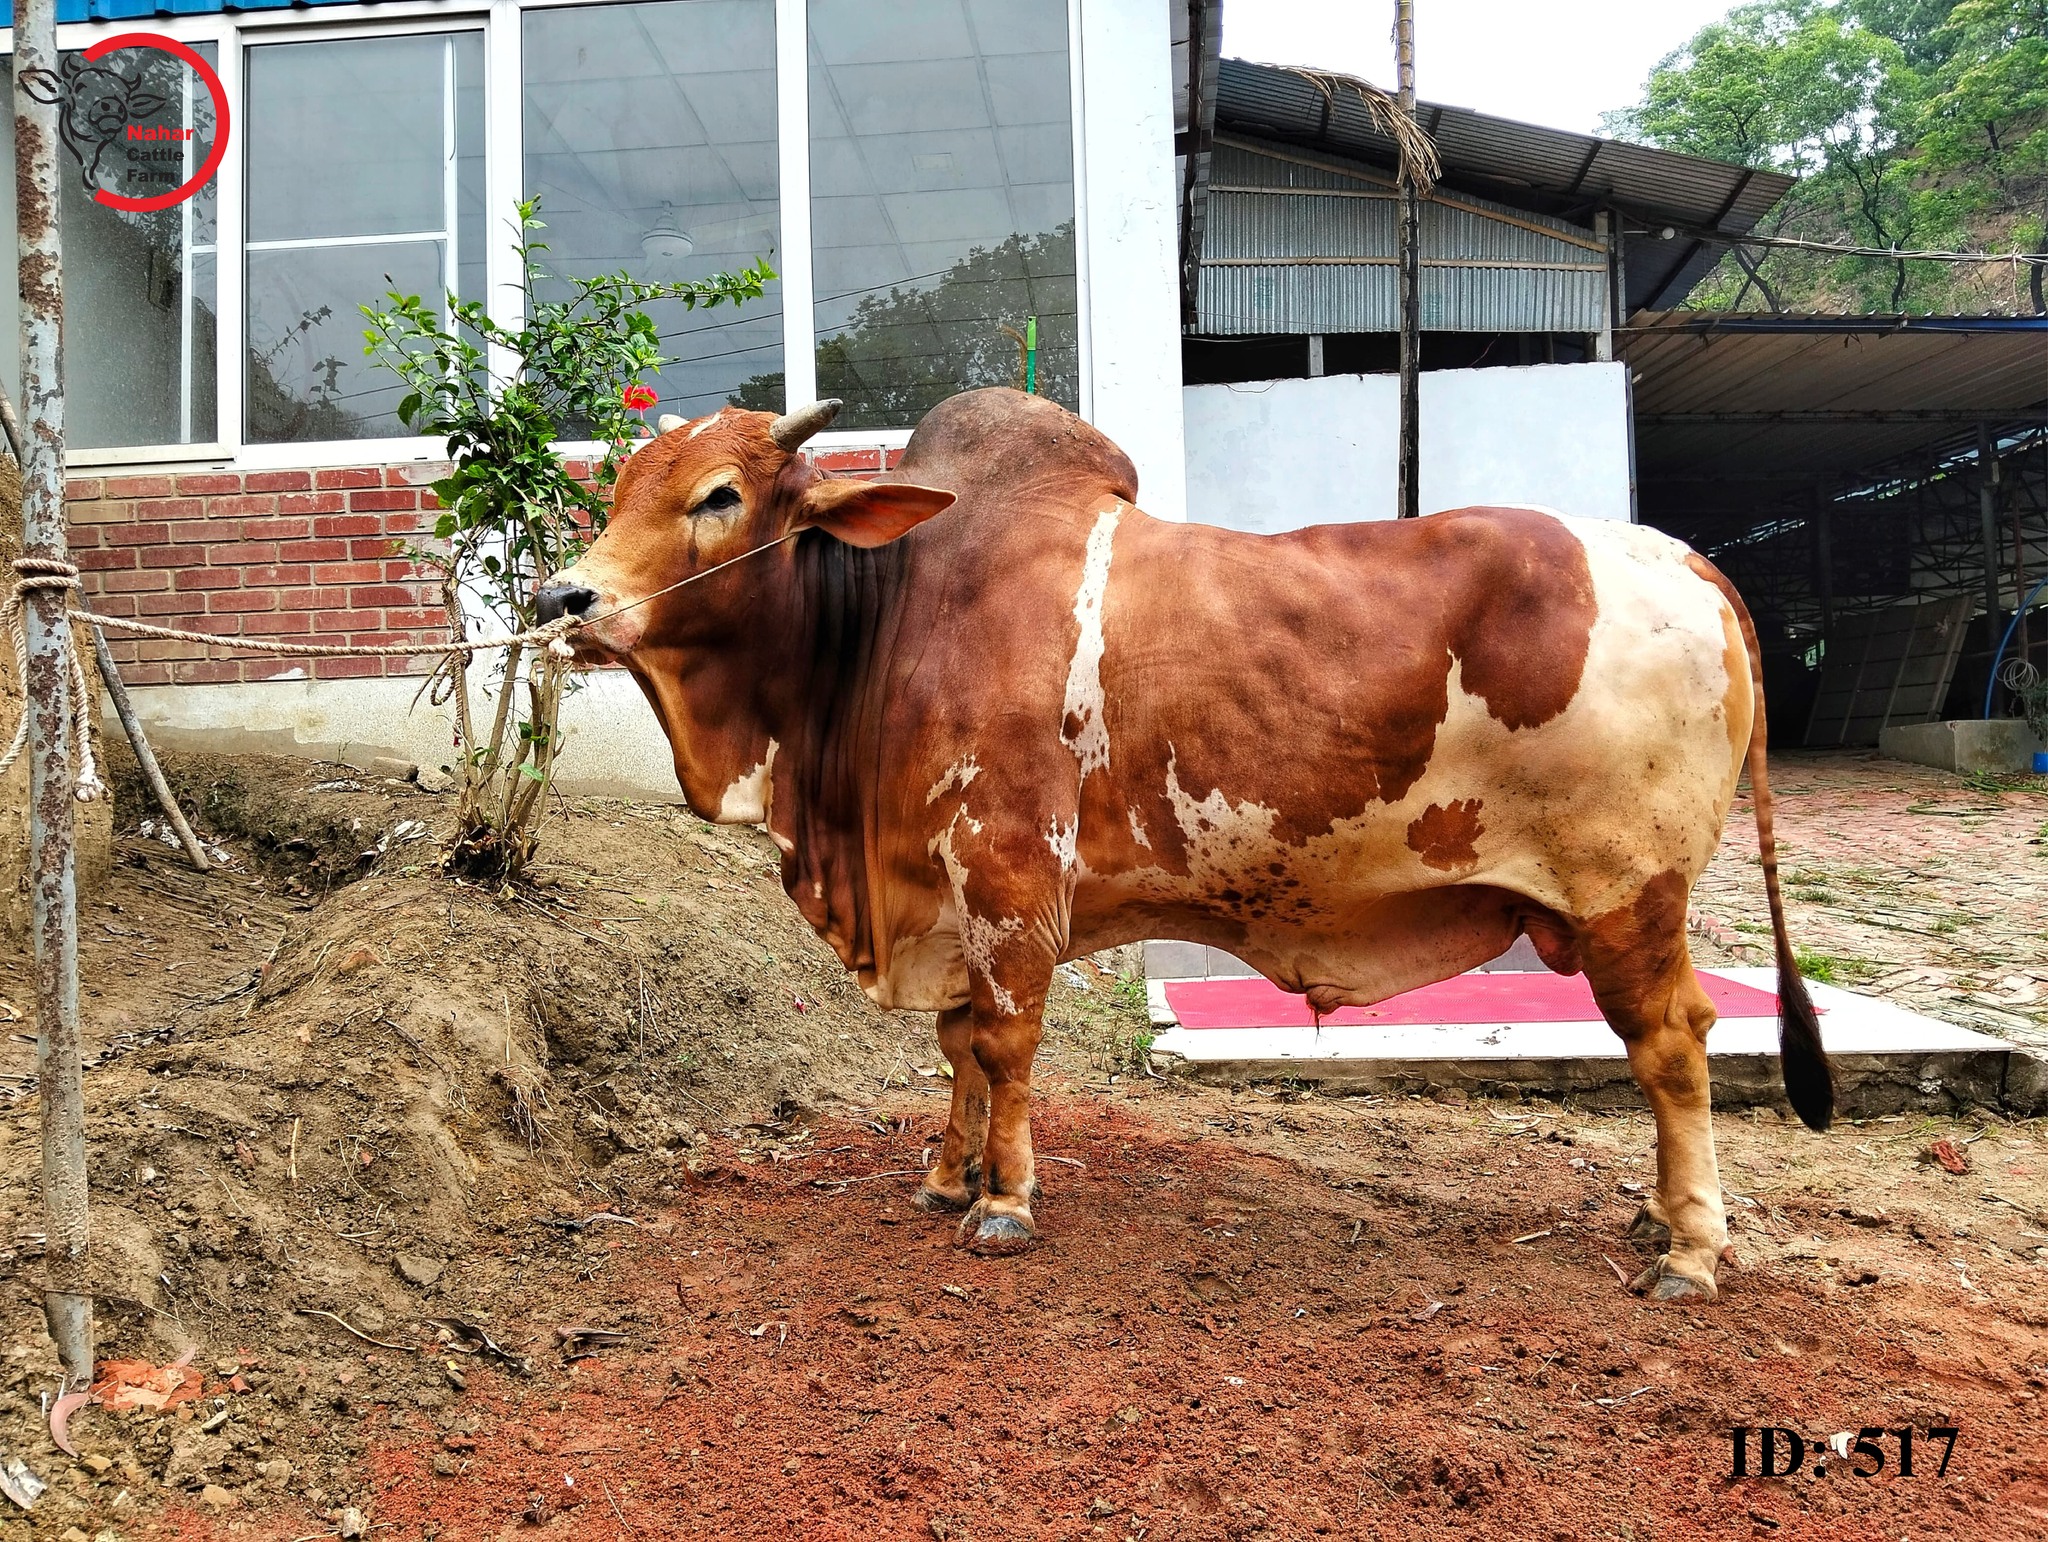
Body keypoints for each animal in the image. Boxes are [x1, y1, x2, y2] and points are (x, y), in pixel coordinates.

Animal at [537, 387, 1831, 1304]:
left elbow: (1002, 1042)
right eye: (618, 486)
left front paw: (1002, 1204)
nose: (562, 601)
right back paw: (1656, 1214)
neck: (888, 615)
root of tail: (1682, 558)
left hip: (1626, 890)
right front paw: (944, 1176)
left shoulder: (1007, 869)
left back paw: (1688, 1249)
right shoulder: (947, 894)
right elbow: (956, 1045)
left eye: (716, 494)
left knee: (1673, 1045)